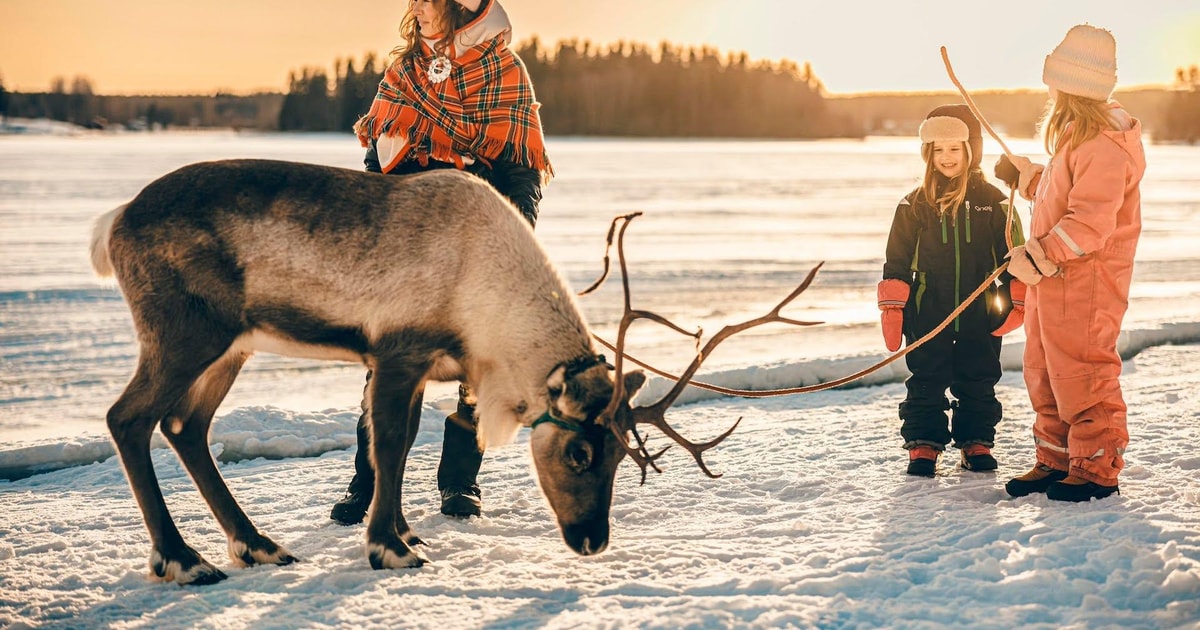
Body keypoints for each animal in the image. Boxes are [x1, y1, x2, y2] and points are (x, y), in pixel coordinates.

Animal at [89, 158, 821, 585]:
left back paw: (256, 546)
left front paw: (403, 531)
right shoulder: (396, 351)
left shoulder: (425, 368)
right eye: (581, 452)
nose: (592, 541)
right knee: (129, 418)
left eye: (620, 456)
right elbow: (386, 445)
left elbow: (408, 441)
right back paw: (183, 560)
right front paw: (390, 548)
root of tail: (114, 222)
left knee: (186, 426)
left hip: (231, 345)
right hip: (185, 332)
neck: (485, 312)